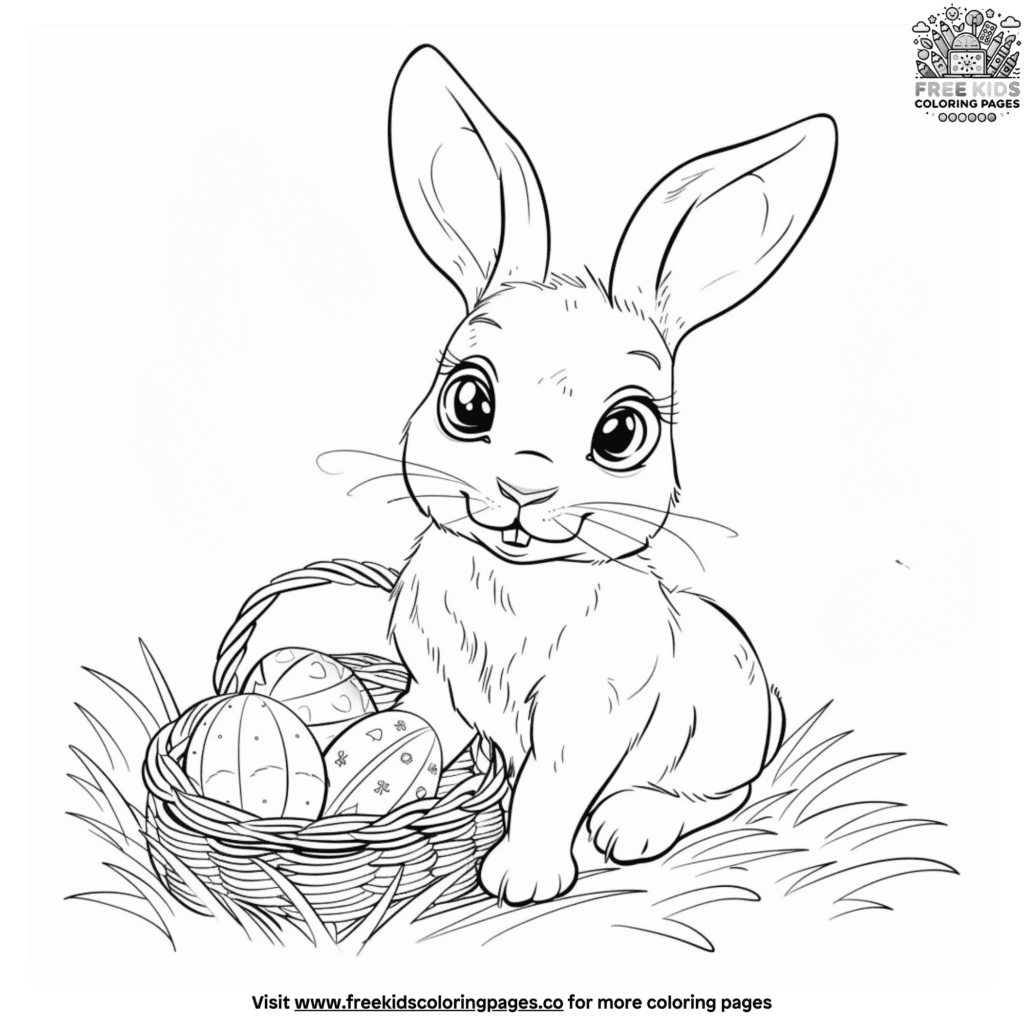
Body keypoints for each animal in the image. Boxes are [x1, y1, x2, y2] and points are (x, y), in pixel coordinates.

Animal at [382, 45, 837, 904]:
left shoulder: (585, 717)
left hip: (718, 735)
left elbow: (547, 790)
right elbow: (419, 726)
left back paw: (634, 824)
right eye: (469, 400)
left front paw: (523, 877)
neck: (516, 581)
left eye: (623, 432)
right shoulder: (434, 683)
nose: (524, 487)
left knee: (720, 796)